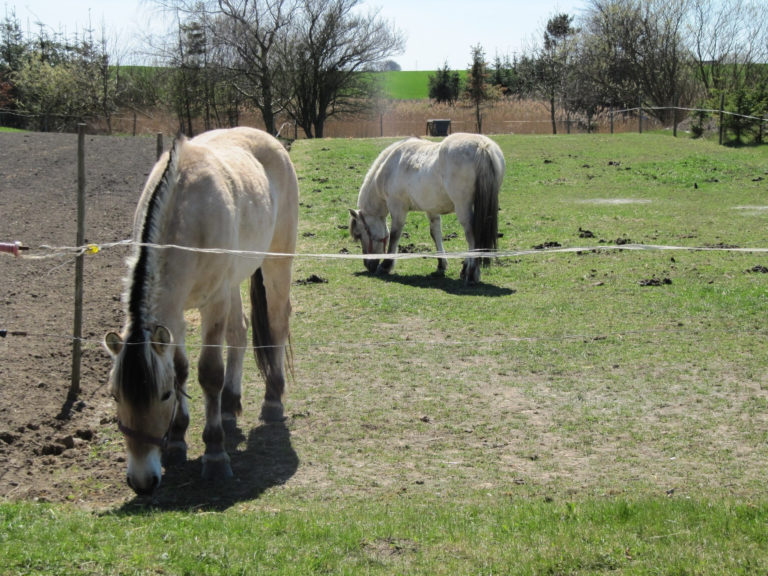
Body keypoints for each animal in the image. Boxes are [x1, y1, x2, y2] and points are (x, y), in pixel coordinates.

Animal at [104, 127, 298, 496]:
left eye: (162, 395)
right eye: (115, 394)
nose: (142, 481)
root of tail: (271, 139)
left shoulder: (214, 302)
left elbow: (208, 372)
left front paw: (215, 455)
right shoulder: (175, 315)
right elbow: (180, 368)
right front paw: (178, 439)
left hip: (276, 262)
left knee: (277, 323)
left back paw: (273, 400)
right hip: (234, 280)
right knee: (239, 331)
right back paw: (229, 405)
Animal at [348, 133, 505, 285]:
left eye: (360, 234)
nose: (368, 265)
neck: (389, 167)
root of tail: (482, 146)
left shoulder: (398, 207)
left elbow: (394, 235)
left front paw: (386, 265)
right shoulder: (432, 209)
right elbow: (435, 234)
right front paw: (441, 264)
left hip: (463, 206)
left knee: (471, 235)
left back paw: (472, 273)